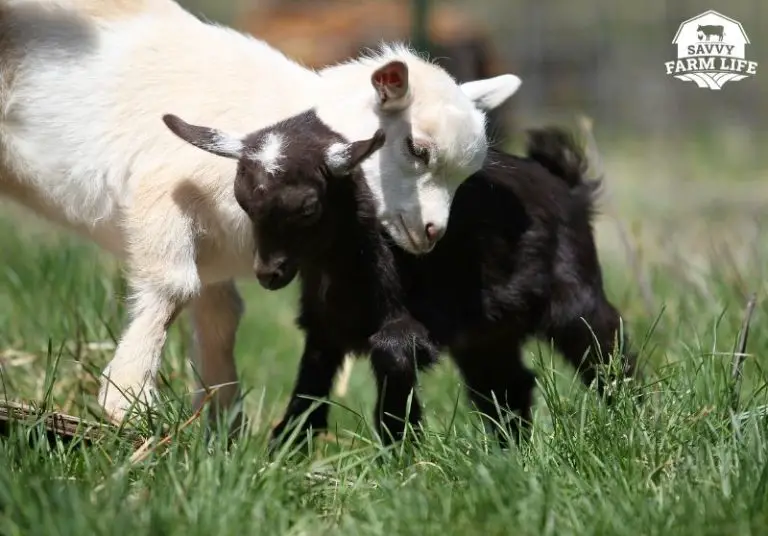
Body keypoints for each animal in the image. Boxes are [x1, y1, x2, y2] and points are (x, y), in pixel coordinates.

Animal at [0, 0, 522, 425]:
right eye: (417, 148)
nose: (433, 231)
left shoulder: (215, 251)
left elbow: (220, 318)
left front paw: (218, 429)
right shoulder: (163, 192)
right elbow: (174, 285)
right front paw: (127, 400)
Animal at [165, 109, 637, 449]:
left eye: (308, 207)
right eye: (242, 201)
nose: (269, 273)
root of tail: (568, 188)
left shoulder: (412, 325)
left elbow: (391, 357)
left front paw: (402, 451)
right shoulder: (324, 329)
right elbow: (307, 398)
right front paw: (286, 454)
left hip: (574, 295)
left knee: (606, 347)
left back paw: (632, 418)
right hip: (486, 331)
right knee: (508, 386)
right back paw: (511, 454)